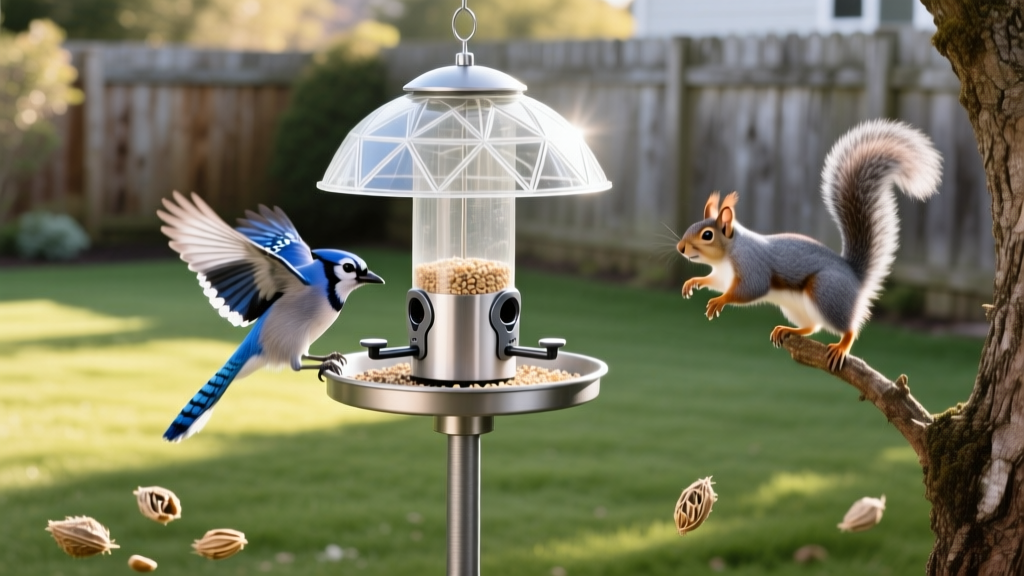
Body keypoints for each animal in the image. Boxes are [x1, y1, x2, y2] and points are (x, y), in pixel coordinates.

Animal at [676, 119, 943, 371]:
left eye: (707, 235)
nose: (680, 248)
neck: (726, 257)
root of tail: (855, 277)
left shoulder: (752, 265)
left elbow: (751, 289)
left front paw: (719, 301)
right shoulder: (722, 275)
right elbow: (714, 281)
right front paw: (694, 282)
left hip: (826, 293)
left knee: (848, 328)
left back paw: (841, 346)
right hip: (798, 309)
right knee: (813, 326)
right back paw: (789, 330)